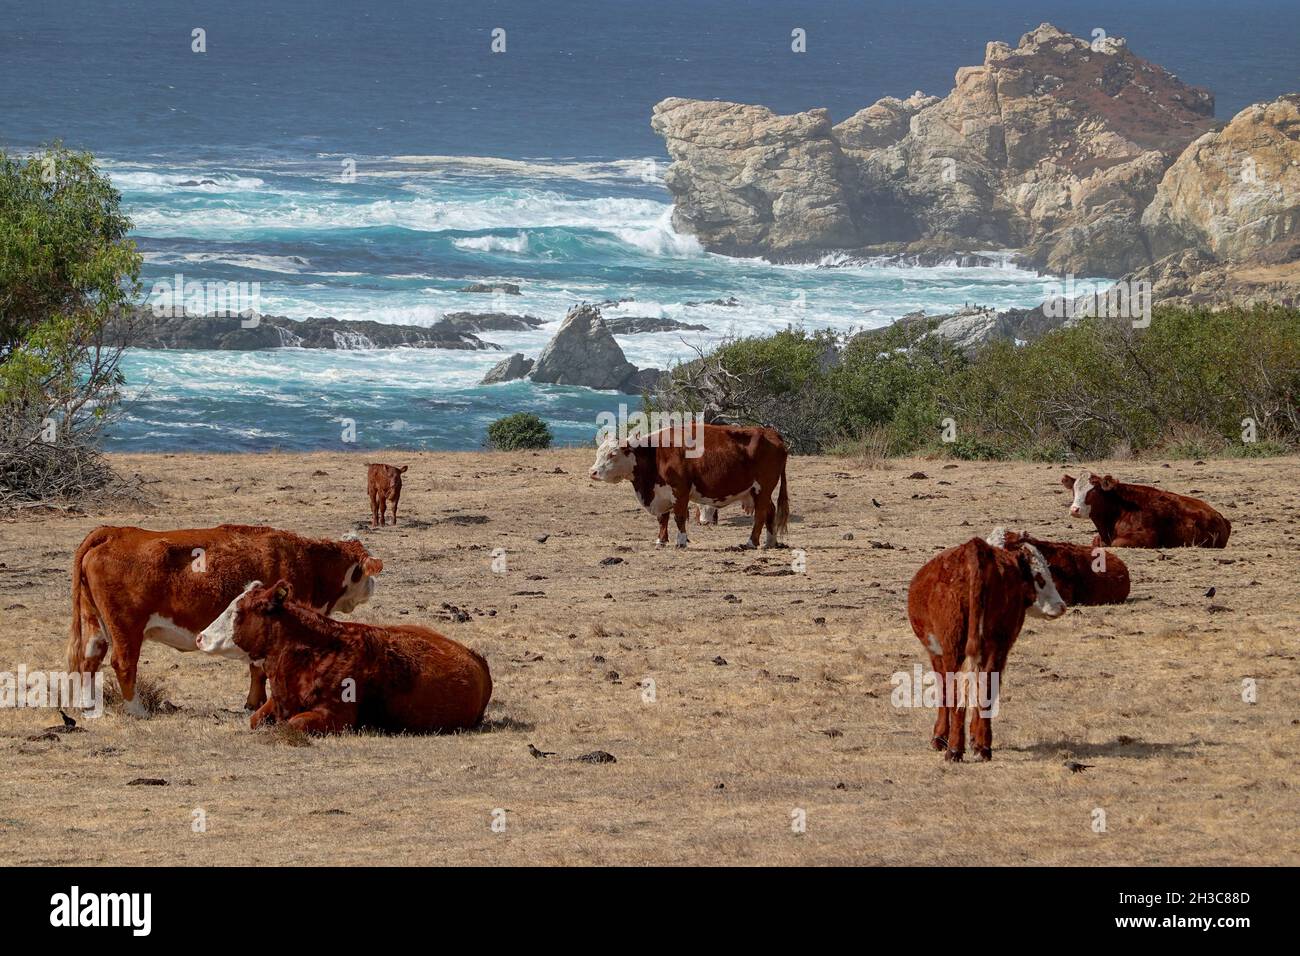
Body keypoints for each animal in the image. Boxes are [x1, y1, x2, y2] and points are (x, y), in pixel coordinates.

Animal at [67, 525, 383, 716]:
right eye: (363, 573)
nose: (373, 586)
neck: (307, 563)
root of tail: (113, 532)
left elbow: (257, 670)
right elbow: (262, 669)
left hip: (94, 623)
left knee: (89, 660)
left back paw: (87, 706)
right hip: (126, 627)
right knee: (123, 663)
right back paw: (137, 711)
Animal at [196, 580, 492, 735]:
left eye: (238, 611)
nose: (200, 637)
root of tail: (474, 656)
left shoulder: (336, 716)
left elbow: (293, 724)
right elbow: (255, 719)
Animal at [590, 423, 789, 549]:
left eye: (613, 454)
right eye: (599, 452)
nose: (593, 472)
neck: (655, 453)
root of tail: (772, 434)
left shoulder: (680, 491)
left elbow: (678, 517)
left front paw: (681, 541)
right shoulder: (661, 492)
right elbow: (662, 518)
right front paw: (661, 541)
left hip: (763, 488)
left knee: (761, 514)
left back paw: (751, 542)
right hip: (756, 491)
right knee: (770, 511)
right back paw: (770, 542)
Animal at [907, 537, 1066, 761]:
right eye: (1039, 577)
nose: (1061, 606)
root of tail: (976, 549)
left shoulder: (936, 653)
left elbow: (945, 692)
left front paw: (939, 738)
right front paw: (974, 740)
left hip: (954, 646)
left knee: (956, 690)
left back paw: (954, 750)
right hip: (998, 644)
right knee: (987, 685)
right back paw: (983, 747)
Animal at [1061, 472, 1230, 548]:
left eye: (1094, 491)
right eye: (1074, 490)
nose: (1074, 509)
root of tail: (1220, 516)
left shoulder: (1146, 537)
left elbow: (1117, 542)